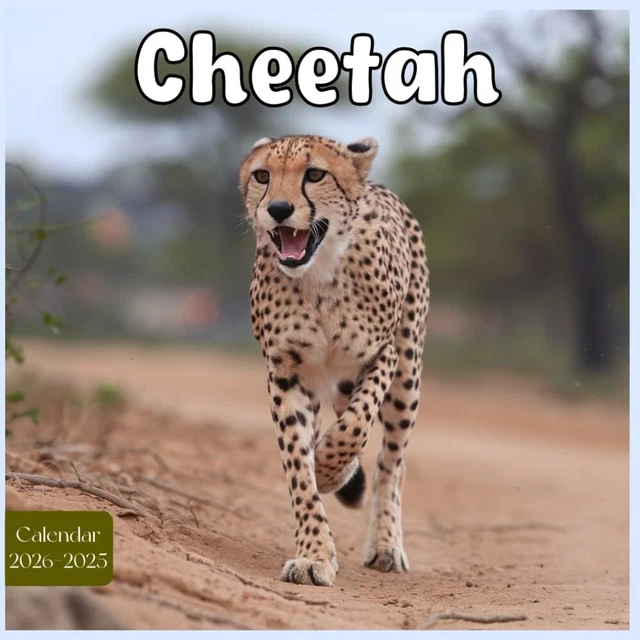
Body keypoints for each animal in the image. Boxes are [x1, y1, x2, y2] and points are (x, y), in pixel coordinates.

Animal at [239, 134, 430, 587]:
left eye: (315, 175)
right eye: (262, 176)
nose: (278, 209)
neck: (319, 273)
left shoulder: (381, 356)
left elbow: (354, 428)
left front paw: (328, 469)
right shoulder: (285, 373)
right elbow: (297, 465)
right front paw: (314, 554)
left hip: (407, 374)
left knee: (391, 461)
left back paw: (386, 545)